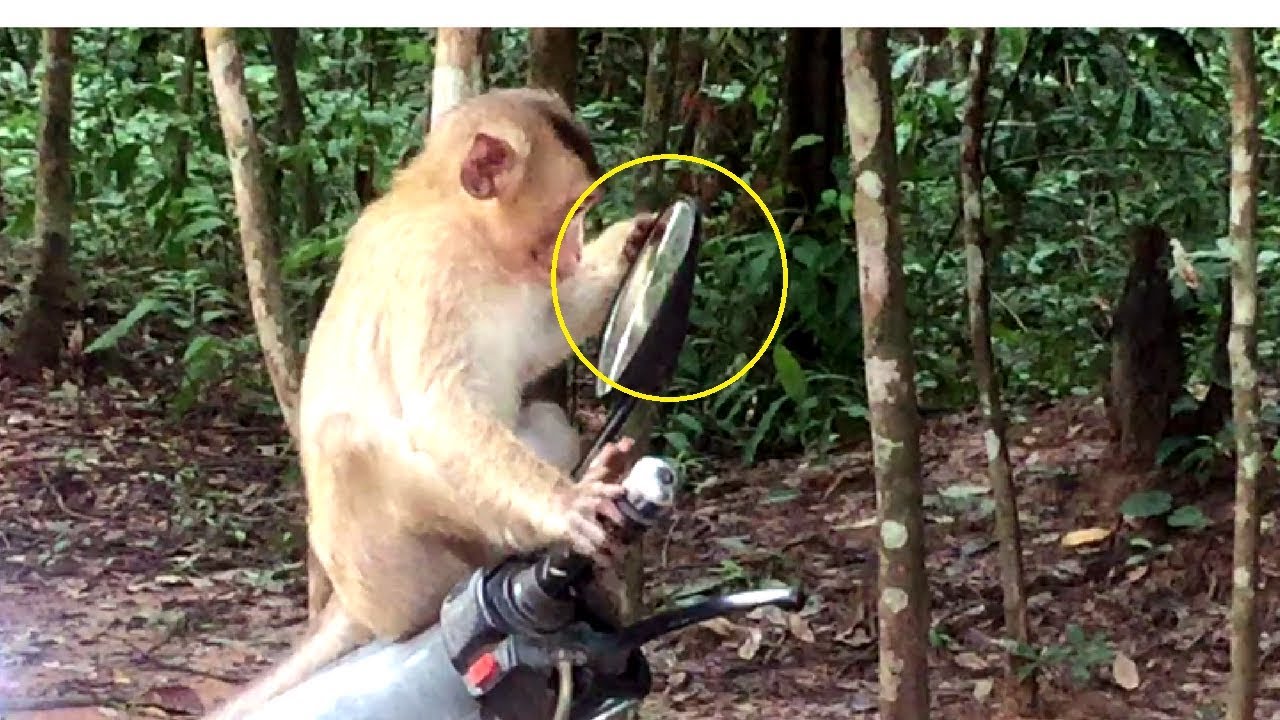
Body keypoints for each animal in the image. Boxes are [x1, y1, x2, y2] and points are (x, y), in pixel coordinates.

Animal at [206, 88, 659, 719]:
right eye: (568, 214)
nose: (569, 256)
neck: (465, 223)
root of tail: (350, 605)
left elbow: (544, 337)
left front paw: (629, 241)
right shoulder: (433, 265)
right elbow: (442, 411)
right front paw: (566, 504)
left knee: (547, 418)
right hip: (385, 577)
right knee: (352, 442)